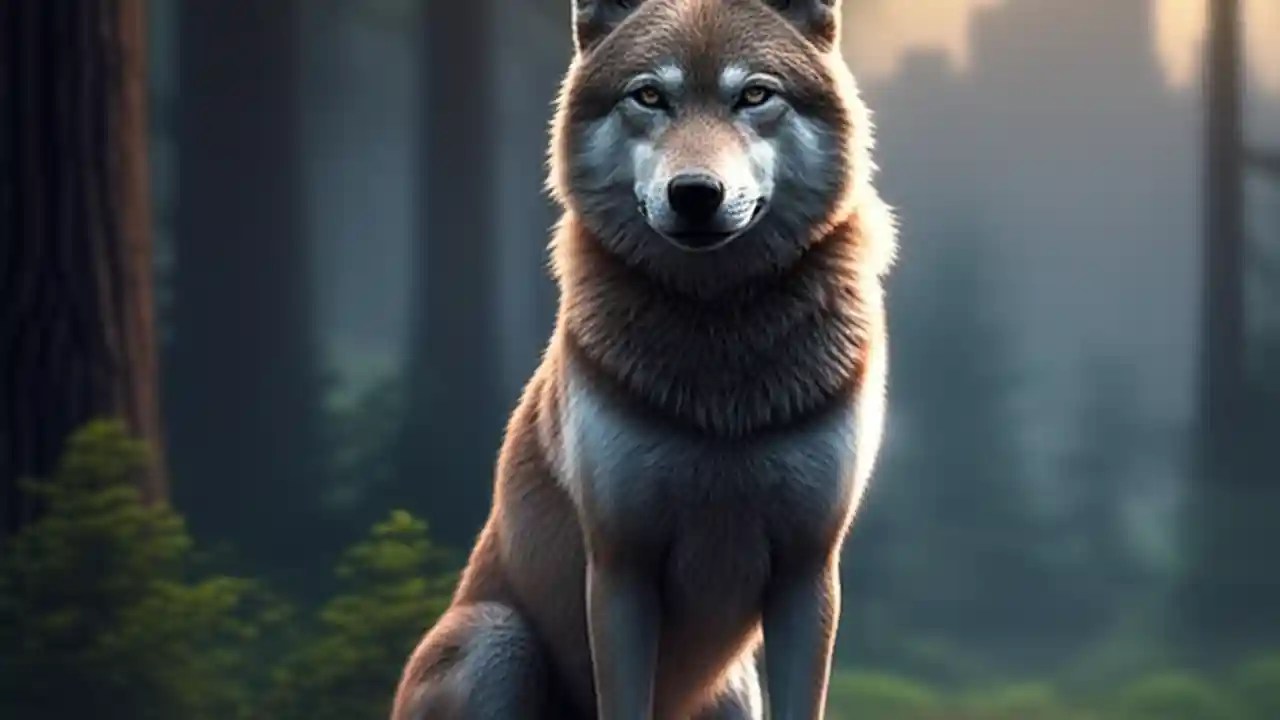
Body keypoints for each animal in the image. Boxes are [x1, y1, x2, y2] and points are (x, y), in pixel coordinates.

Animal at [392, 0, 896, 718]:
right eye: (650, 96)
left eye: (755, 96)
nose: (695, 193)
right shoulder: (620, 567)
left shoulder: (808, 572)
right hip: (496, 639)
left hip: (736, 690)